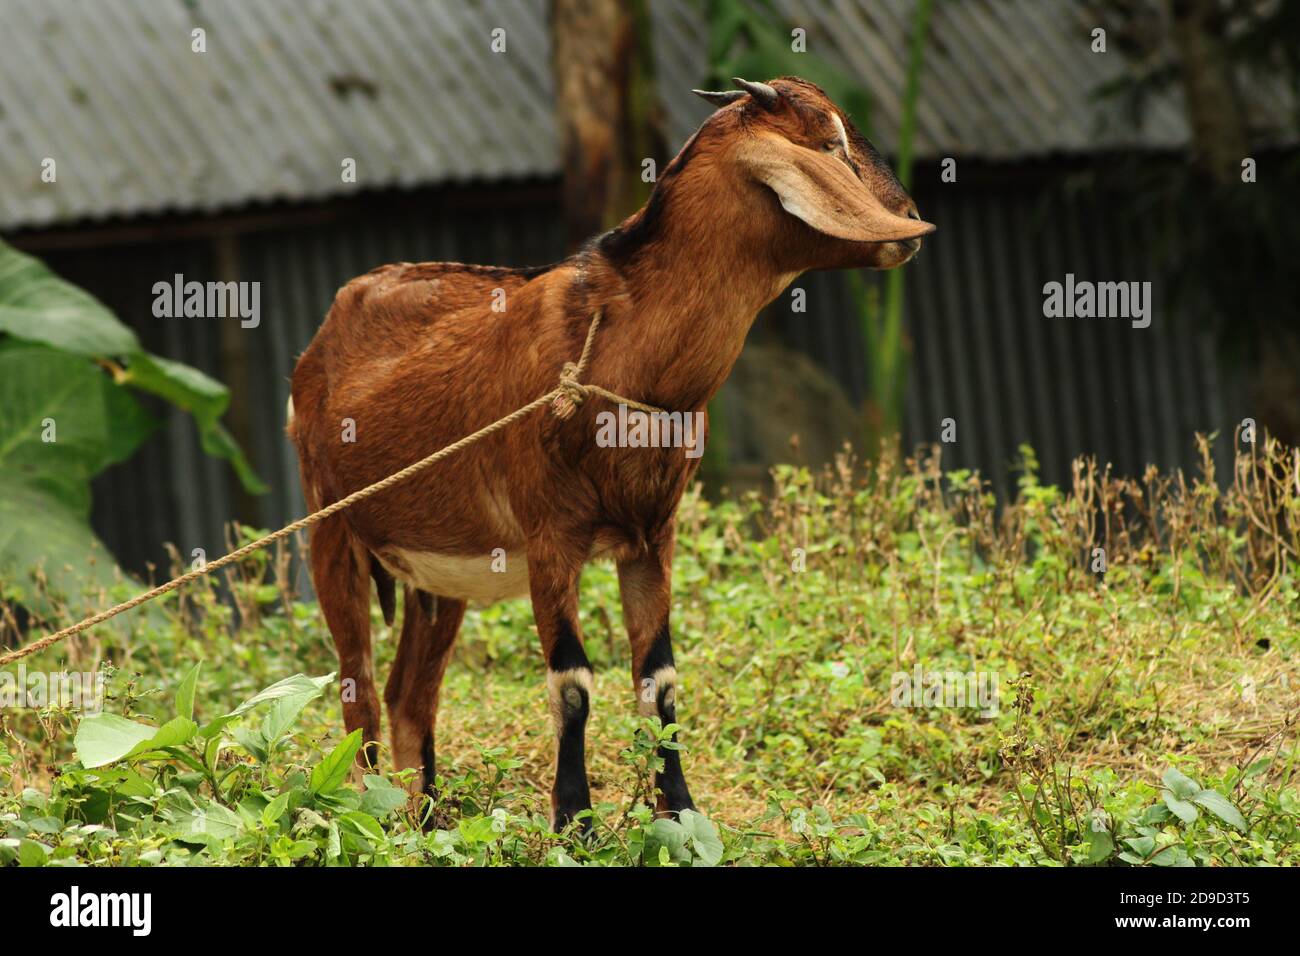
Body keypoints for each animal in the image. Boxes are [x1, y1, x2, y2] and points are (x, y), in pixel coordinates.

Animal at [288, 76, 934, 830]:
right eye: (831, 145)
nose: (909, 218)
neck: (623, 351)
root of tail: (326, 330)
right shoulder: (549, 536)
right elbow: (572, 684)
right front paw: (575, 820)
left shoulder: (652, 534)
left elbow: (660, 681)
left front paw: (678, 812)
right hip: (331, 525)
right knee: (356, 684)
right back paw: (368, 814)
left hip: (436, 570)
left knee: (408, 695)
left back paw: (426, 822)